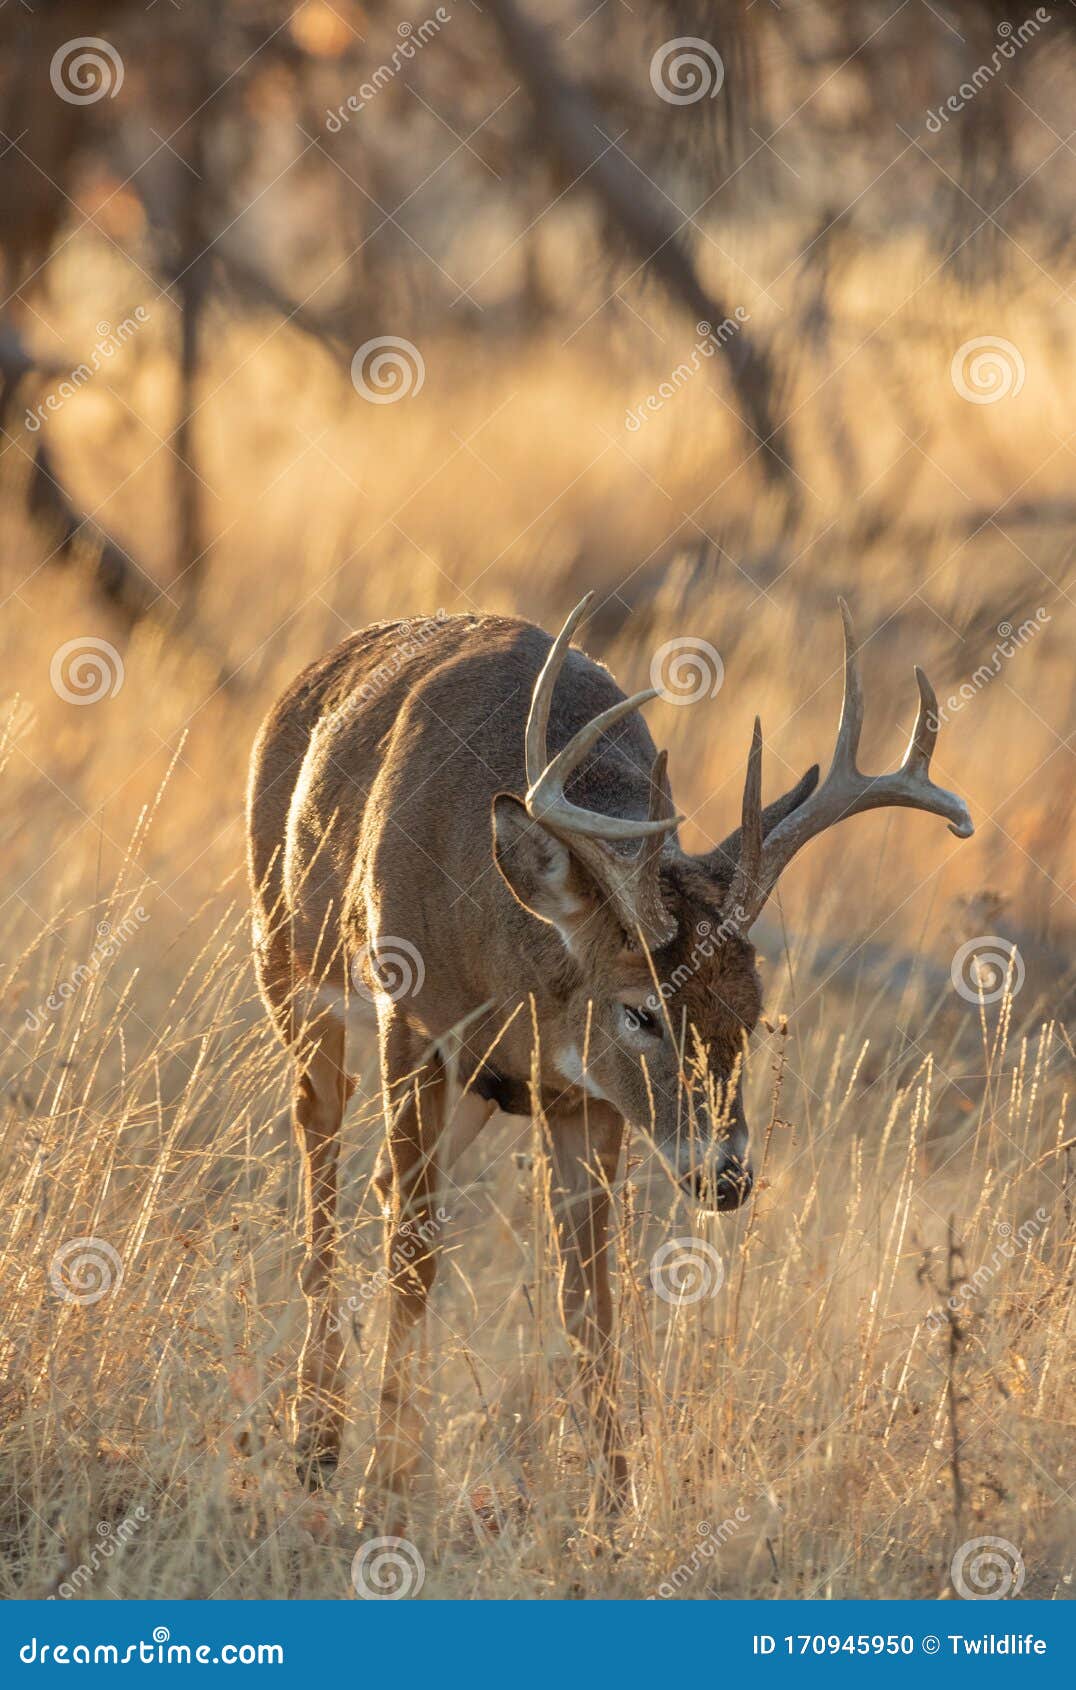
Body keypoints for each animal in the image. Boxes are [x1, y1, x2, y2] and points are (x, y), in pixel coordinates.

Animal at [246, 593, 973, 1528]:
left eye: (754, 1011)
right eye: (641, 1011)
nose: (724, 1177)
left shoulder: (581, 1097)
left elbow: (590, 1297)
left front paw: (611, 1507)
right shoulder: (410, 1022)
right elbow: (414, 1256)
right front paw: (386, 1492)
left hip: (479, 1085)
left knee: (377, 1184)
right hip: (289, 968)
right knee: (323, 1169)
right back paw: (318, 1436)